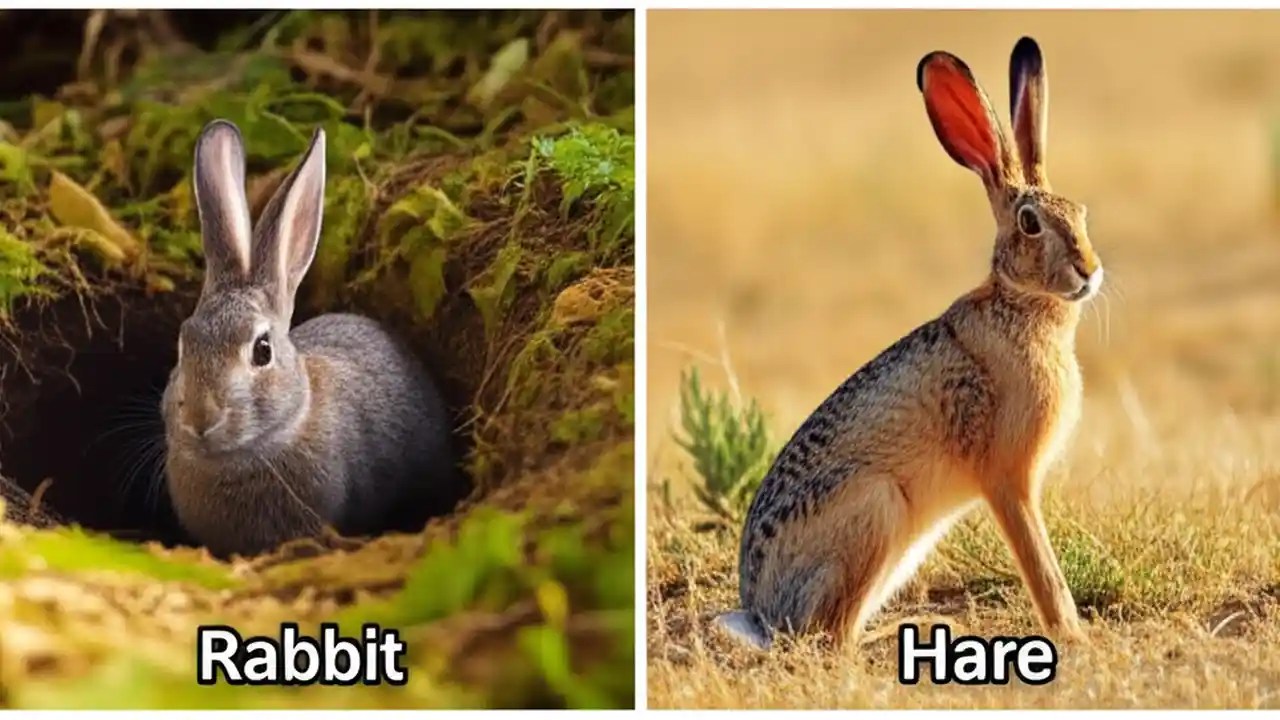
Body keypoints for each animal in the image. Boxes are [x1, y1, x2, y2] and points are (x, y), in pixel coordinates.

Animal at [717, 37, 1103, 651]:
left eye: (1082, 213)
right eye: (1030, 223)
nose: (1090, 270)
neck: (1019, 305)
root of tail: (760, 616)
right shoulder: (1008, 480)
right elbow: (1043, 568)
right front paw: (1073, 636)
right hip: (877, 508)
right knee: (830, 638)